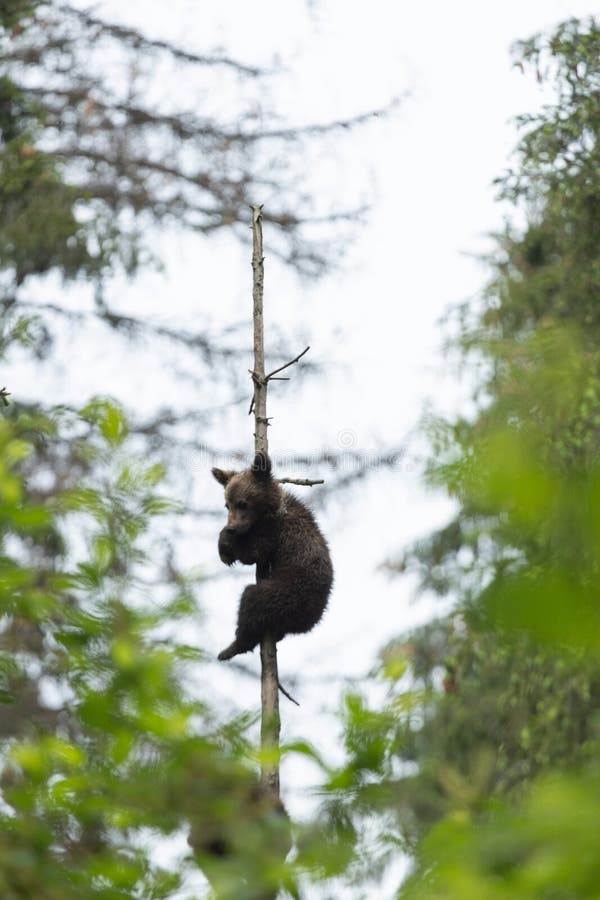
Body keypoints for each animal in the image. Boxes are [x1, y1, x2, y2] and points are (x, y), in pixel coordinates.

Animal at [211, 452, 333, 661]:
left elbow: (252, 554)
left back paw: (231, 648)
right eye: (227, 505)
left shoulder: (276, 531)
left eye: (242, 503)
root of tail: (313, 619)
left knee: (251, 602)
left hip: (289, 591)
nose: (232, 527)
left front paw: (226, 546)